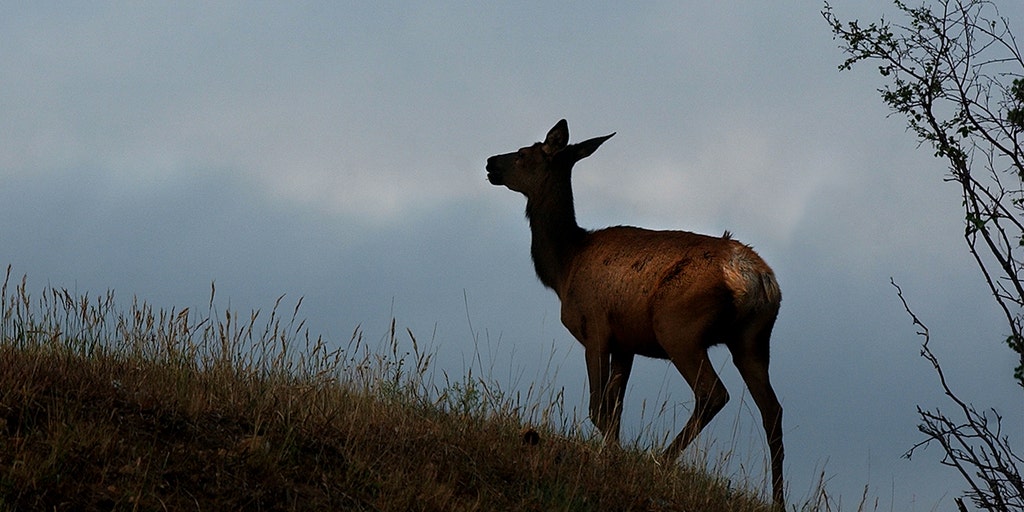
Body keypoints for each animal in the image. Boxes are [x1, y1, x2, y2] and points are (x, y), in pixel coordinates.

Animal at [486, 119, 785, 506]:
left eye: (523, 154)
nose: (490, 163)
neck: (564, 267)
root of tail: (754, 277)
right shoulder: (625, 344)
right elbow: (615, 409)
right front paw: (610, 457)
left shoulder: (595, 328)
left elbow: (598, 408)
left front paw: (615, 458)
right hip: (753, 340)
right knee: (772, 412)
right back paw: (778, 500)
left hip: (678, 328)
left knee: (714, 393)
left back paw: (661, 461)